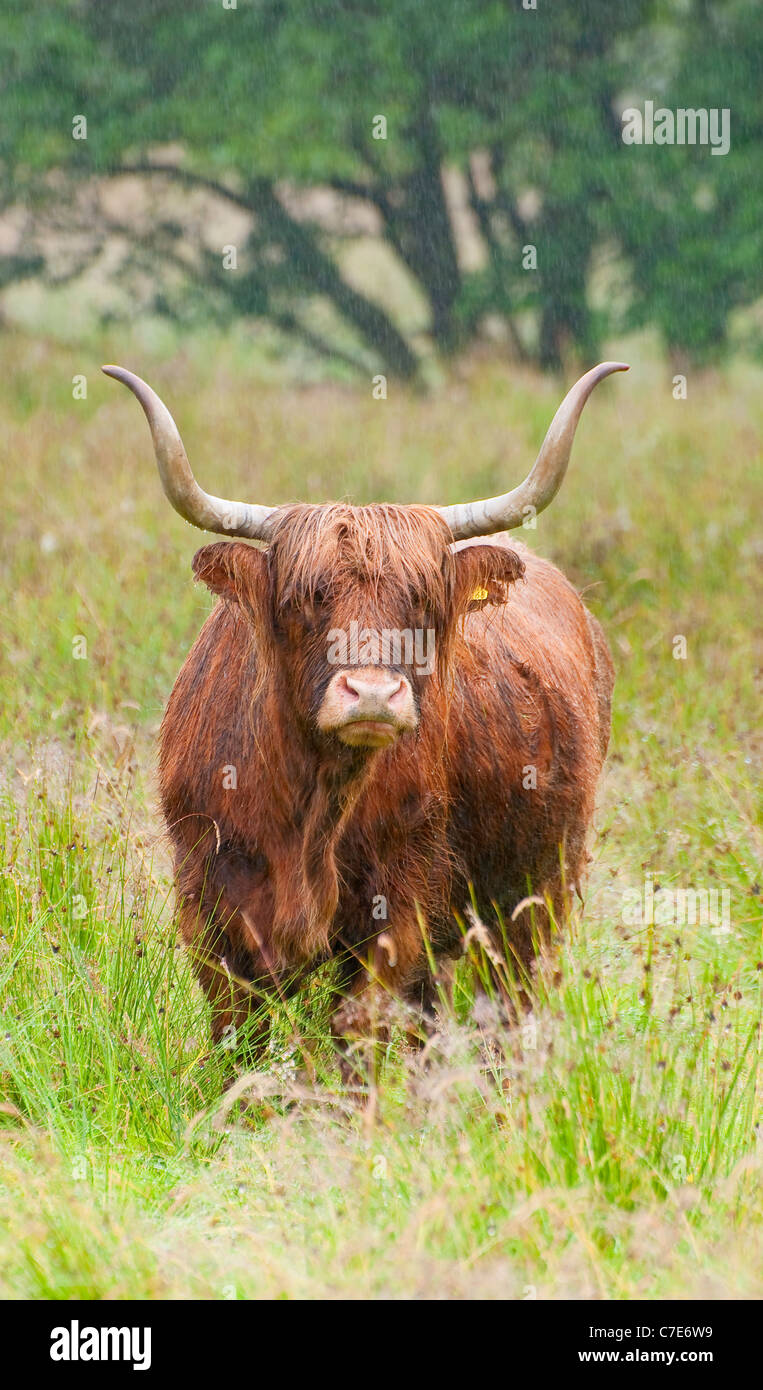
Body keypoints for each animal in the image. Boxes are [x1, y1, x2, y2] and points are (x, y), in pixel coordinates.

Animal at [103, 361, 625, 1078]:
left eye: (421, 601)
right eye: (304, 598)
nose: (373, 695)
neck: (310, 811)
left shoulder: (399, 906)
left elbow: (358, 1034)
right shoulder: (207, 902)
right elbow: (236, 1036)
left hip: (538, 891)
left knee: (510, 1004)